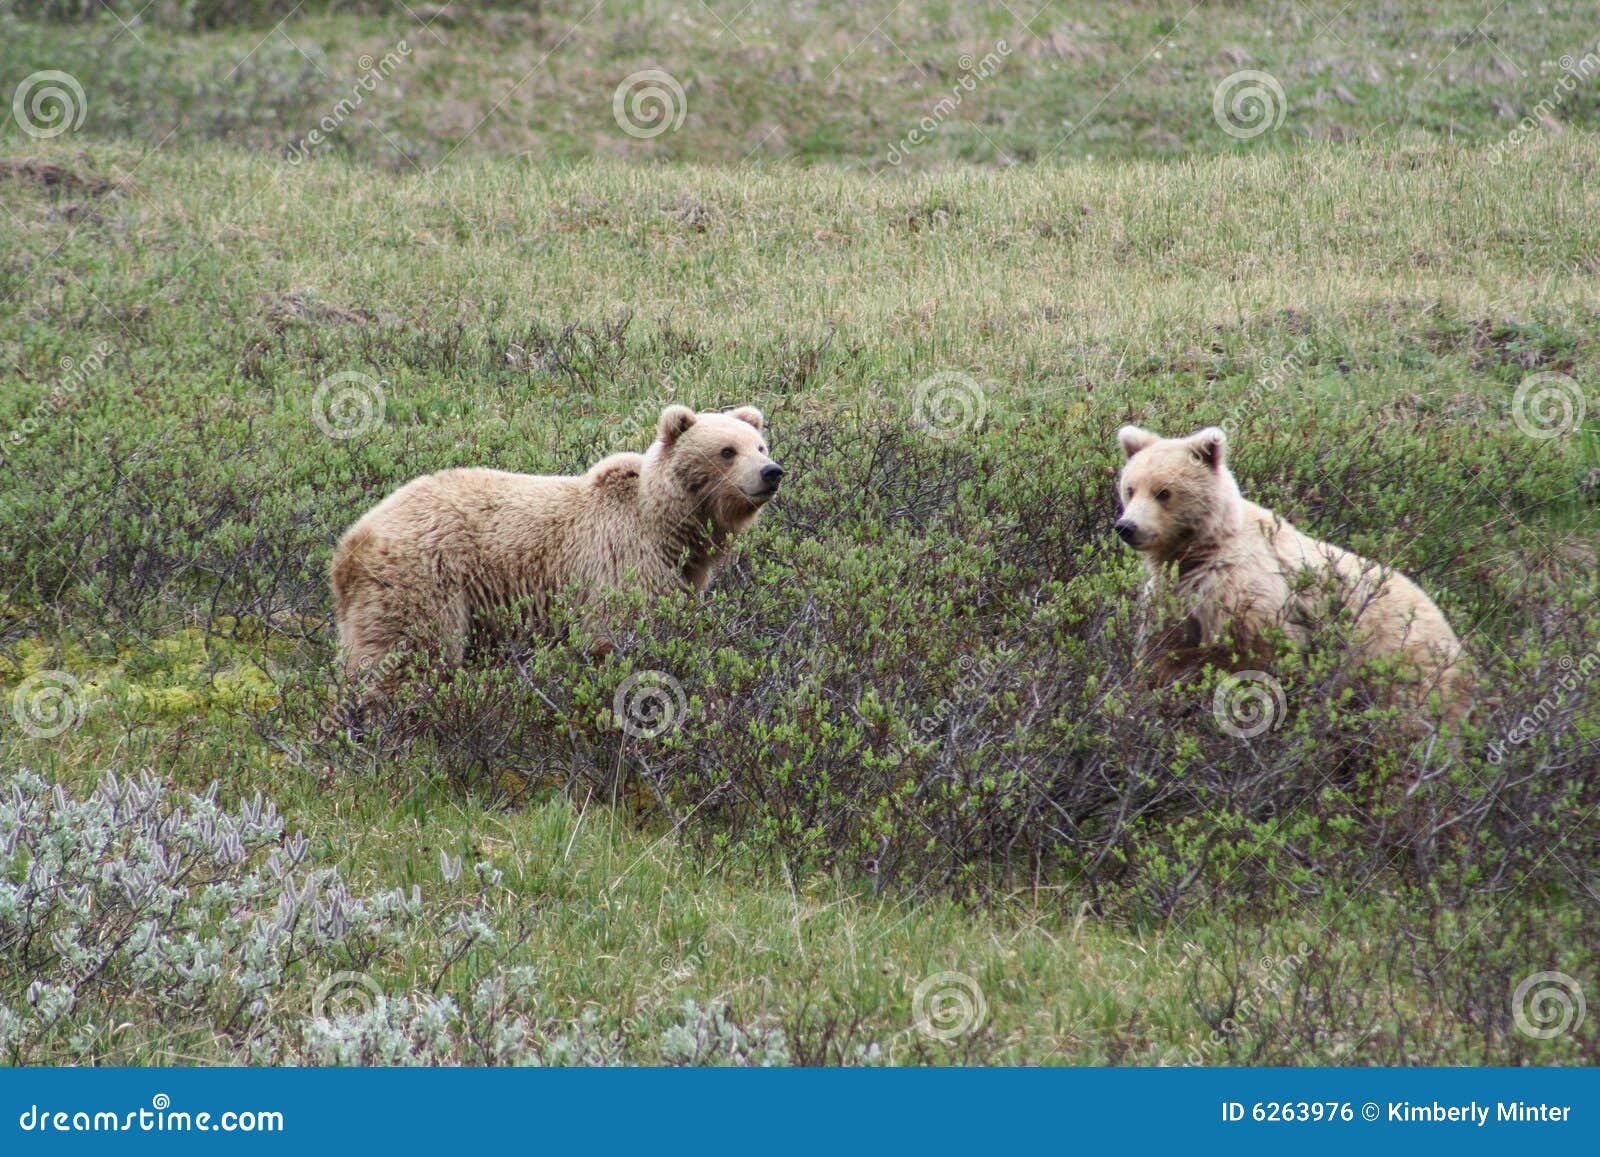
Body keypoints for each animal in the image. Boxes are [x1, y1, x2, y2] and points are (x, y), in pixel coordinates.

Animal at [331, 404, 782, 677]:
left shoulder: (681, 574)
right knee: (408, 655)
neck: (665, 525)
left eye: (760, 445)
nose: (772, 472)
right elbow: (612, 633)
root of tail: (352, 539)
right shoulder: (618, 559)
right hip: (423, 578)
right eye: (727, 450)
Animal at [1114, 424, 1469, 723]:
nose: (1127, 527)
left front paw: (1176, 668)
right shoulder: (1174, 592)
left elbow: (1255, 650)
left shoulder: (1242, 585)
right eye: (1130, 488)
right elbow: (1162, 637)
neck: (1197, 550)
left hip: (1402, 666)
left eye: (1164, 492)